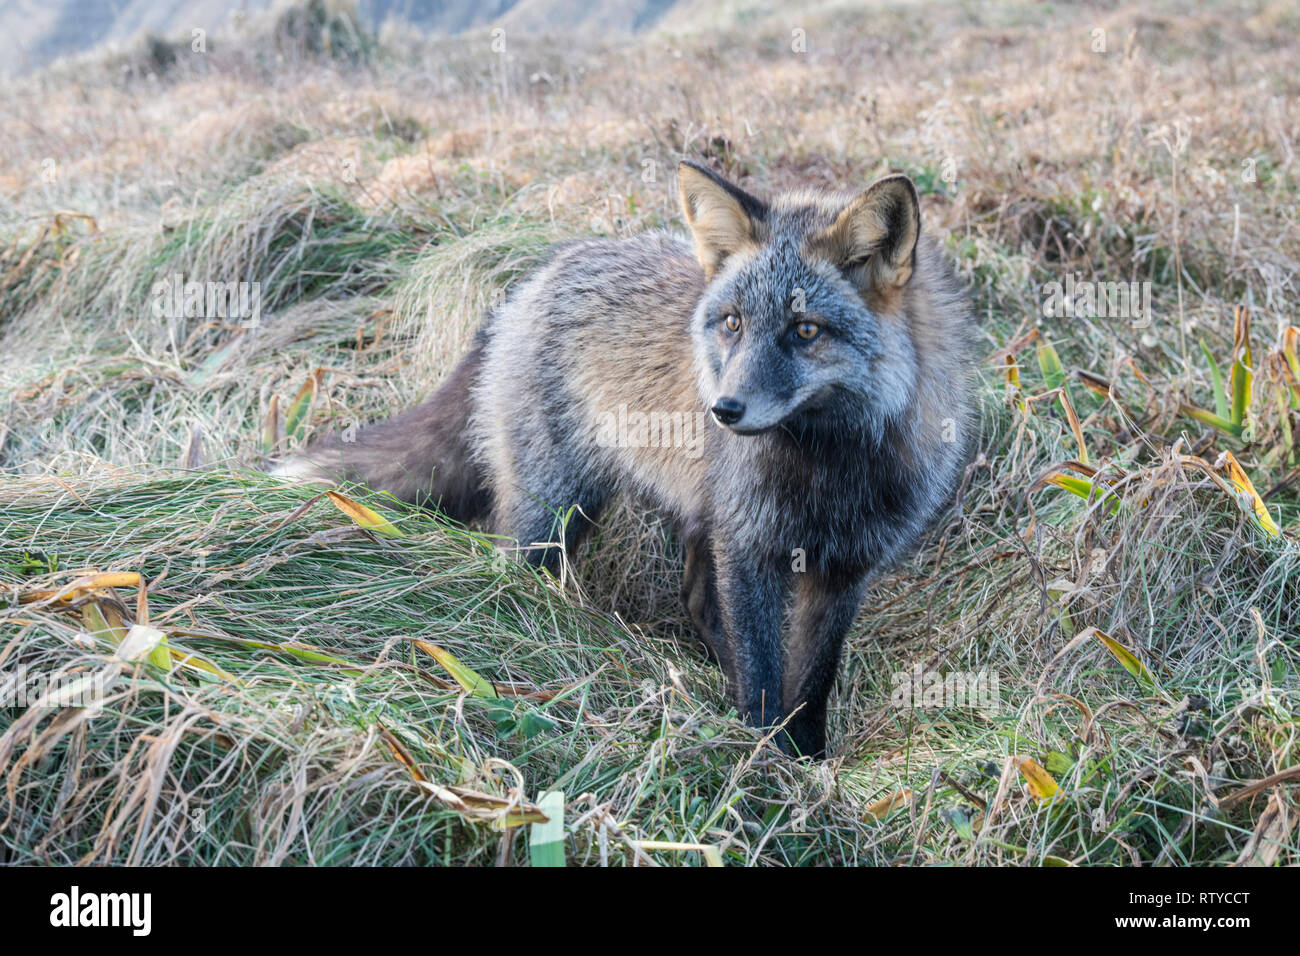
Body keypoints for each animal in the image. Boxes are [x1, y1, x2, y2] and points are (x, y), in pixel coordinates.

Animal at [275, 160, 977, 758]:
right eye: (732, 323)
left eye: (805, 331)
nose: (722, 410)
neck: (829, 468)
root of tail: (535, 277)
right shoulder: (748, 547)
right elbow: (762, 676)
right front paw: (763, 763)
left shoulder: (844, 568)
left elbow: (810, 685)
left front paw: (808, 764)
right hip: (551, 517)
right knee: (523, 568)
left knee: (697, 600)